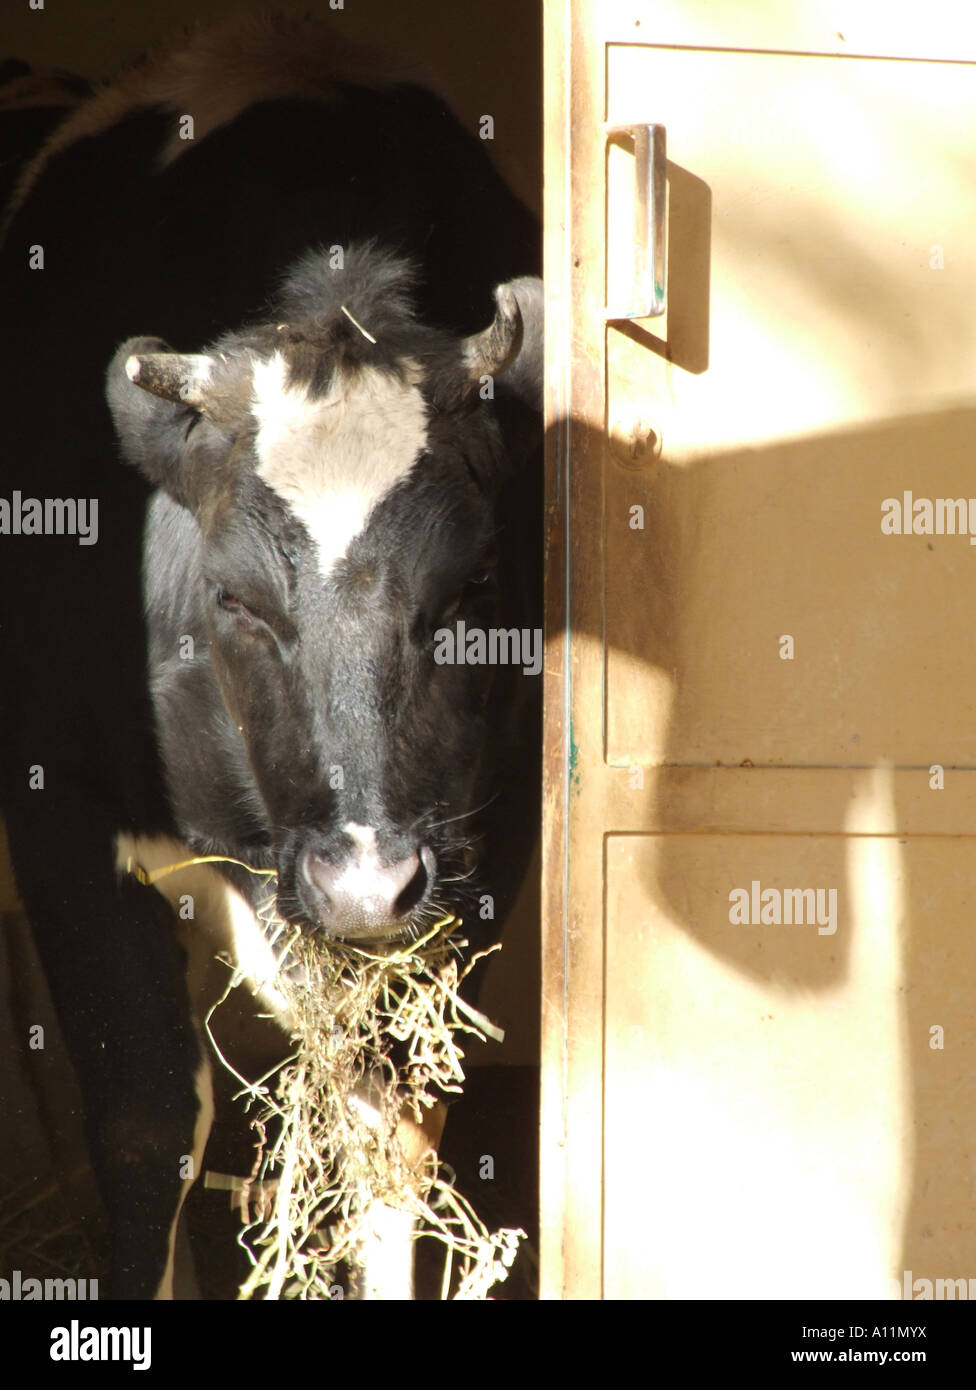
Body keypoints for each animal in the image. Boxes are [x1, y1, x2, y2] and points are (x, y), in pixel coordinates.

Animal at [0, 11, 542, 1300]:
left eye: (471, 591)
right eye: (238, 601)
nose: (364, 883)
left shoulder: (487, 841)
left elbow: (394, 1124)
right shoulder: (57, 806)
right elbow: (147, 1120)